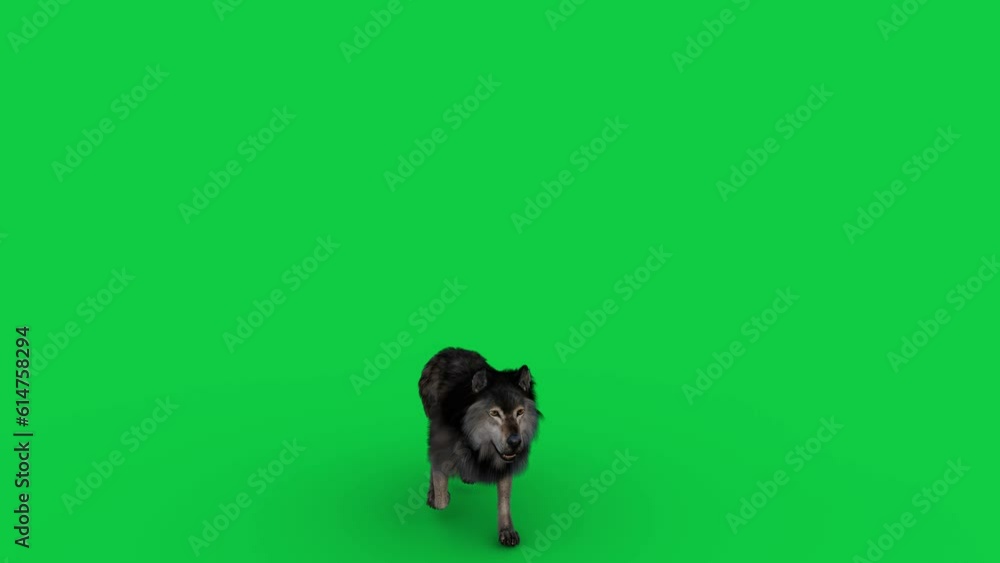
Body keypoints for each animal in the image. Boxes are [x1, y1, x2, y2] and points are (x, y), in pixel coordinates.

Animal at [418, 347, 541, 546]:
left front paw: (507, 531)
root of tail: (448, 349)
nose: (515, 442)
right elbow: (441, 493)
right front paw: (437, 497)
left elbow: (504, 502)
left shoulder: (505, 464)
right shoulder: (441, 442)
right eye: (494, 413)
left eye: (520, 412)